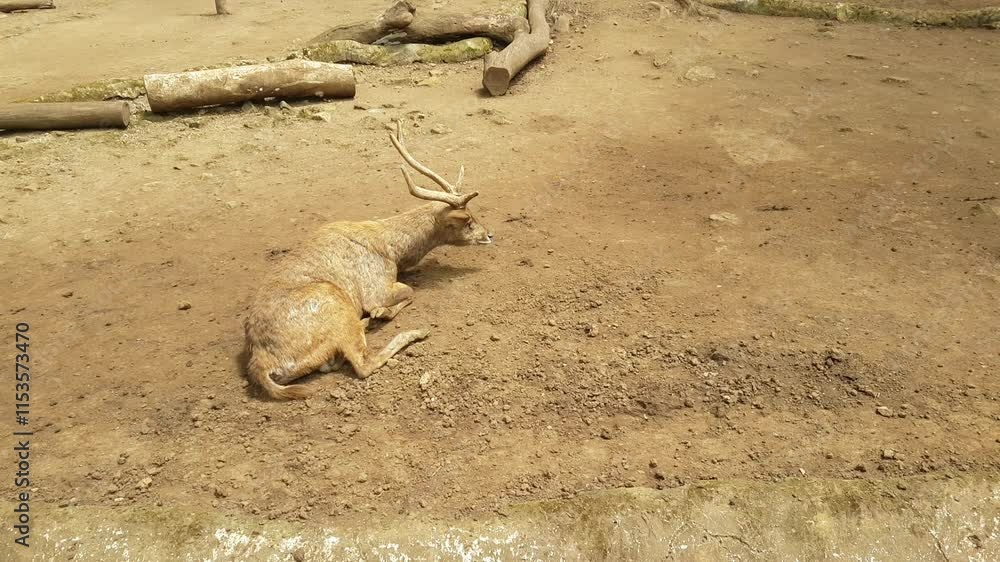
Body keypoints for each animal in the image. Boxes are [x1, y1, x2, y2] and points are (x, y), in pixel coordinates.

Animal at [243, 122, 492, 400]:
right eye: (468, 221)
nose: (489, 235)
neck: (394, 251)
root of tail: (262, 364)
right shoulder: (376, 287)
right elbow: (409, 291)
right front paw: (381, 312)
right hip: (333, 301)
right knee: (363, 363)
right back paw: (411, 330)